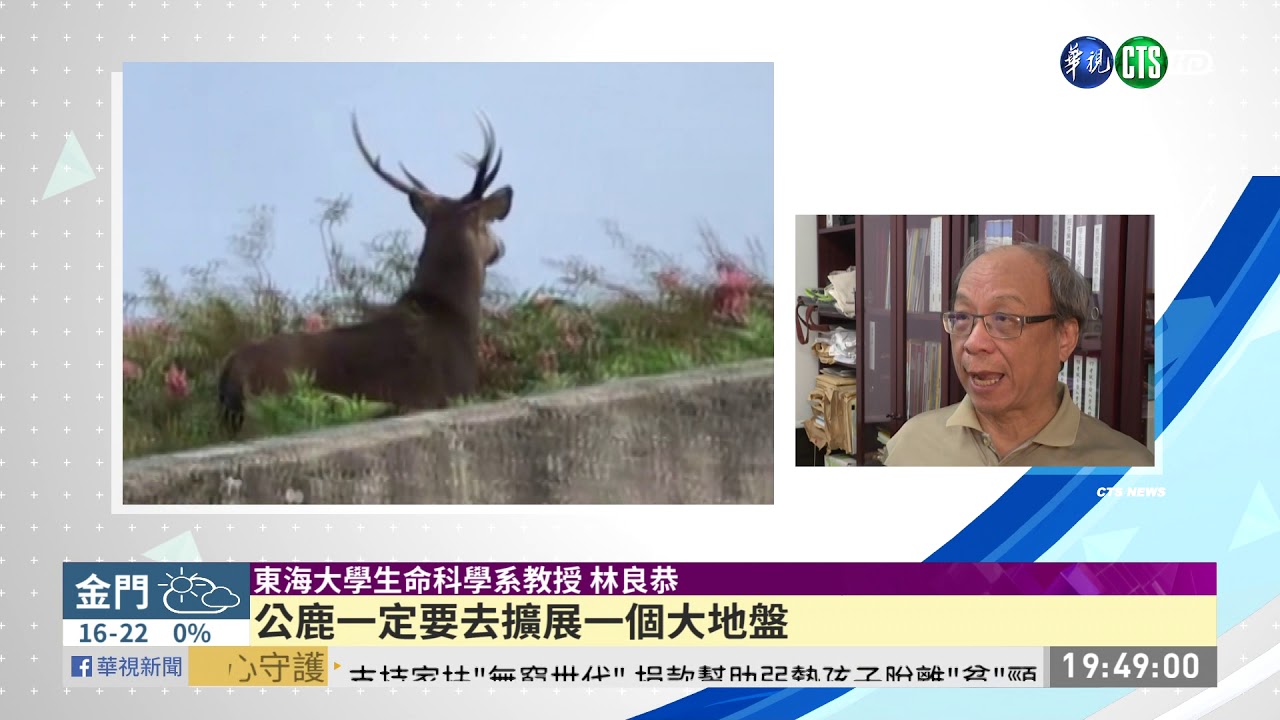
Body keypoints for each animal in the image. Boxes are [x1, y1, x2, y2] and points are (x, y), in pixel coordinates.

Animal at [216, 111, 514, 435]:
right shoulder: (447, 395)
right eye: (488, 223)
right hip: (266, 412)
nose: (500, 247)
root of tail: (231, 371)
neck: (453, 315)